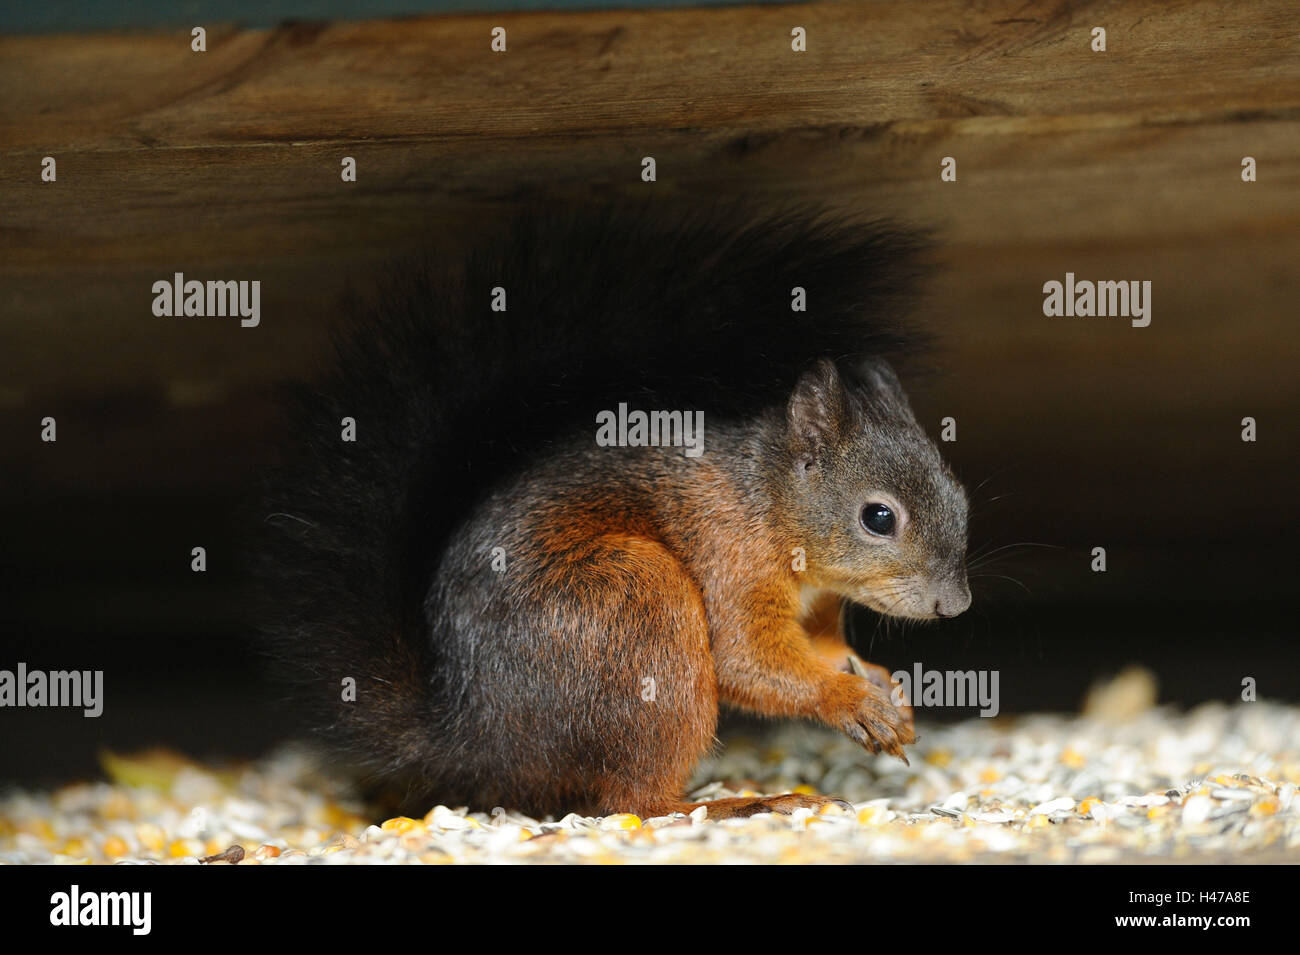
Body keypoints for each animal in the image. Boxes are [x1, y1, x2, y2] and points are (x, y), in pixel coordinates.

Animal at [257, 200, 972, 820]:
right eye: (878, 517)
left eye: (960, 497)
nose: (955, 605)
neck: (769, 504)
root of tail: (476, 740)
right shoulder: (729, 554)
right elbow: (749, 661)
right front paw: (849, 698)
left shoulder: (816, 606)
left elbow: (822, 649)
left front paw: (883, 688)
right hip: (637, 610)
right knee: (632, 801)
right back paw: (736, 803)